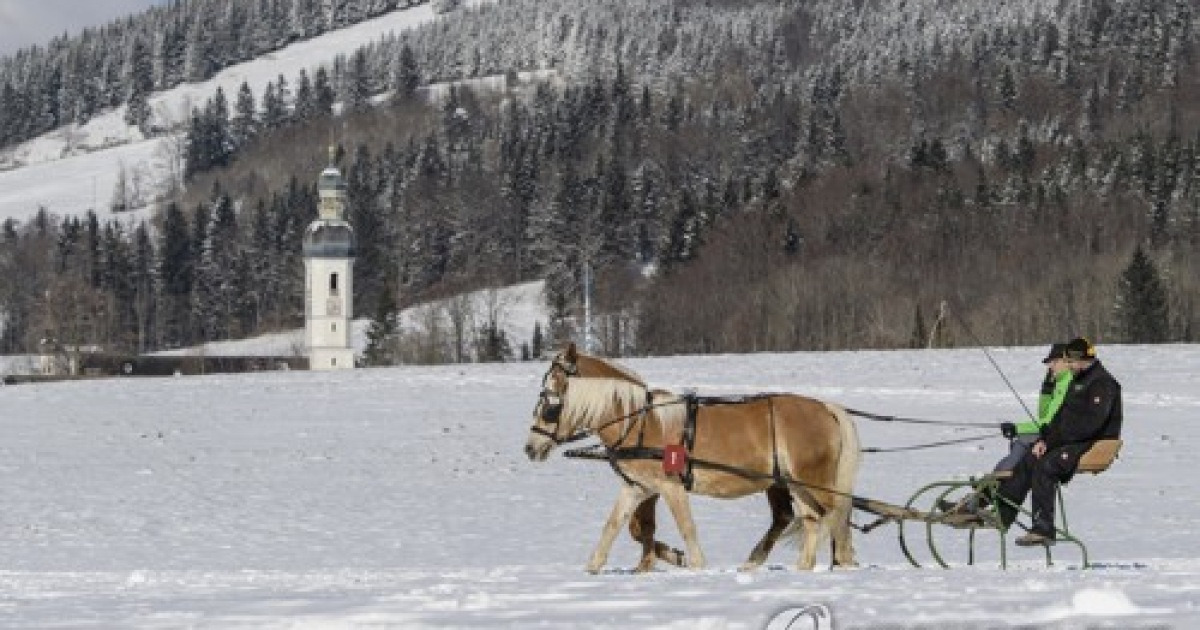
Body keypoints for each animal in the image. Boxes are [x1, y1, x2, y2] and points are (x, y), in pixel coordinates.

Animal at [524, 344, 861, 573]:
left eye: (549, 401)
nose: (530, 447)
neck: (639, 420)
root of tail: (827, 408)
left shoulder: (670, 486)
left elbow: (686, 527)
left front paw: (693, 563)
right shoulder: (637, 487)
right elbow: (614, 525)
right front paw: (594, 567)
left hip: (814, 482)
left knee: (835, 519)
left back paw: (842, 564)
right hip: (795, 484)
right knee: (812, 521)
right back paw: (801, 568)